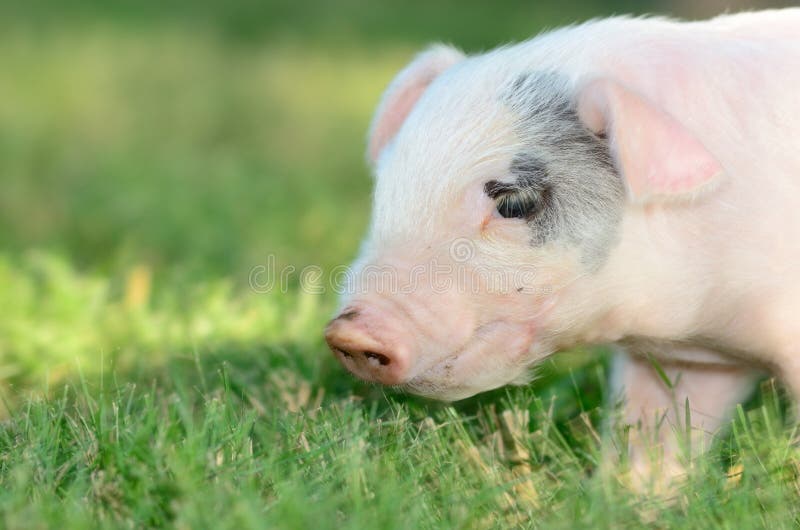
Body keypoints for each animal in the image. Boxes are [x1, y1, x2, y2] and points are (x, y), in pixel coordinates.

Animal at [324, 9, 800, 485]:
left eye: (515, 203)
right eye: (387, 191)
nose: (347, 332)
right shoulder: (688, 363)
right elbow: (653, 432)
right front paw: (625, 494)